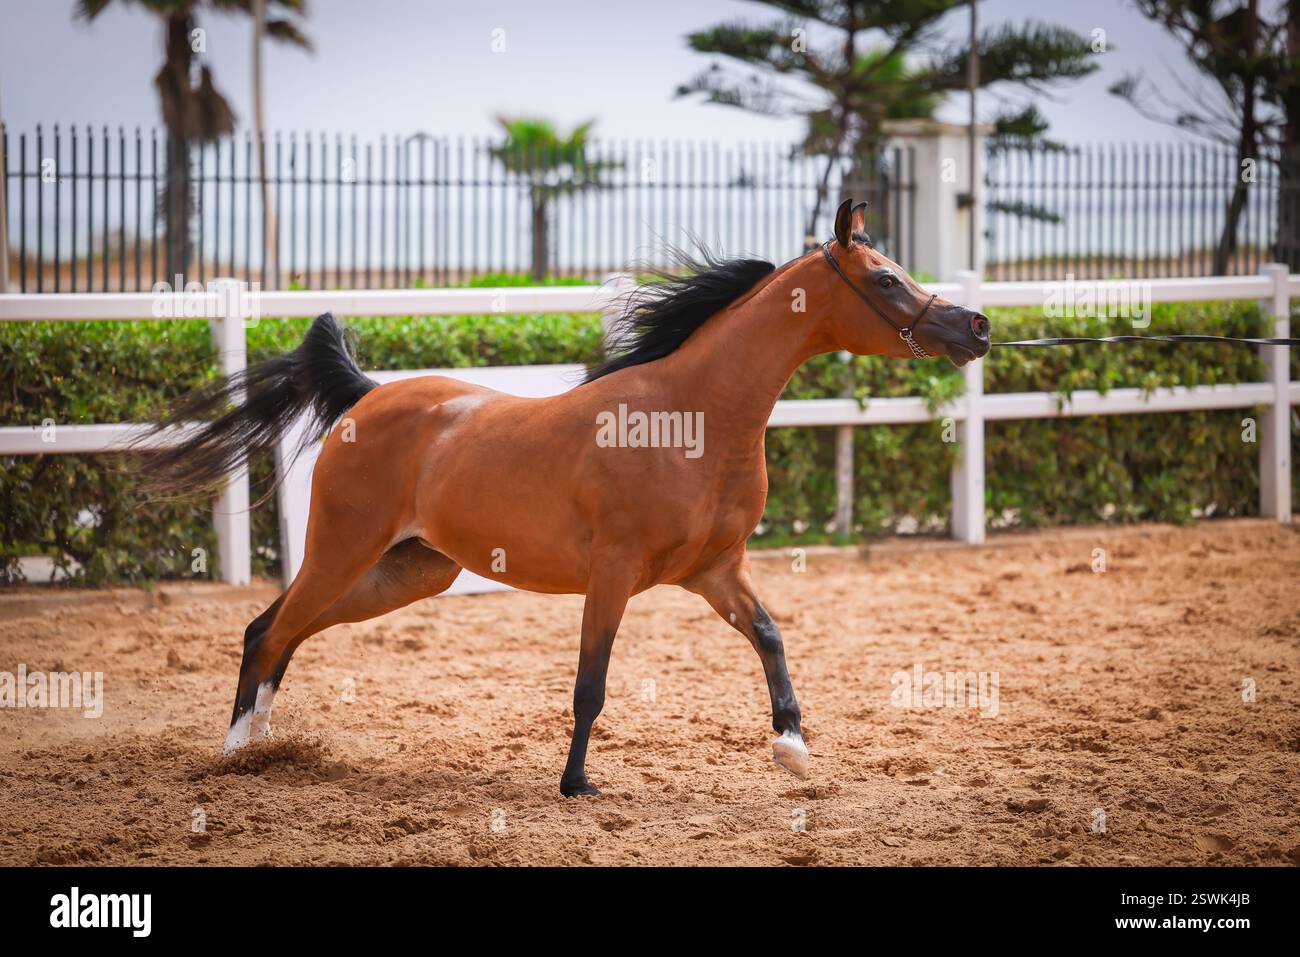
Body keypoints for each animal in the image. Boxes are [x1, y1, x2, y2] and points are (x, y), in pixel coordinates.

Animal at [140, 198, 991, 797]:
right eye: (885, 278)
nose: (976, 327)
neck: (695, 416)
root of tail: (368, 394)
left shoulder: (714, 570)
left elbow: (771, 636)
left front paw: (794, 749)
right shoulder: (613, 572)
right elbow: (591, 684)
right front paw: (577, 782)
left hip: (407, 571)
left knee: (280, 630)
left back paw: (258, 745)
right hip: (345, 550)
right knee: (268, 629)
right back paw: (235, 754)